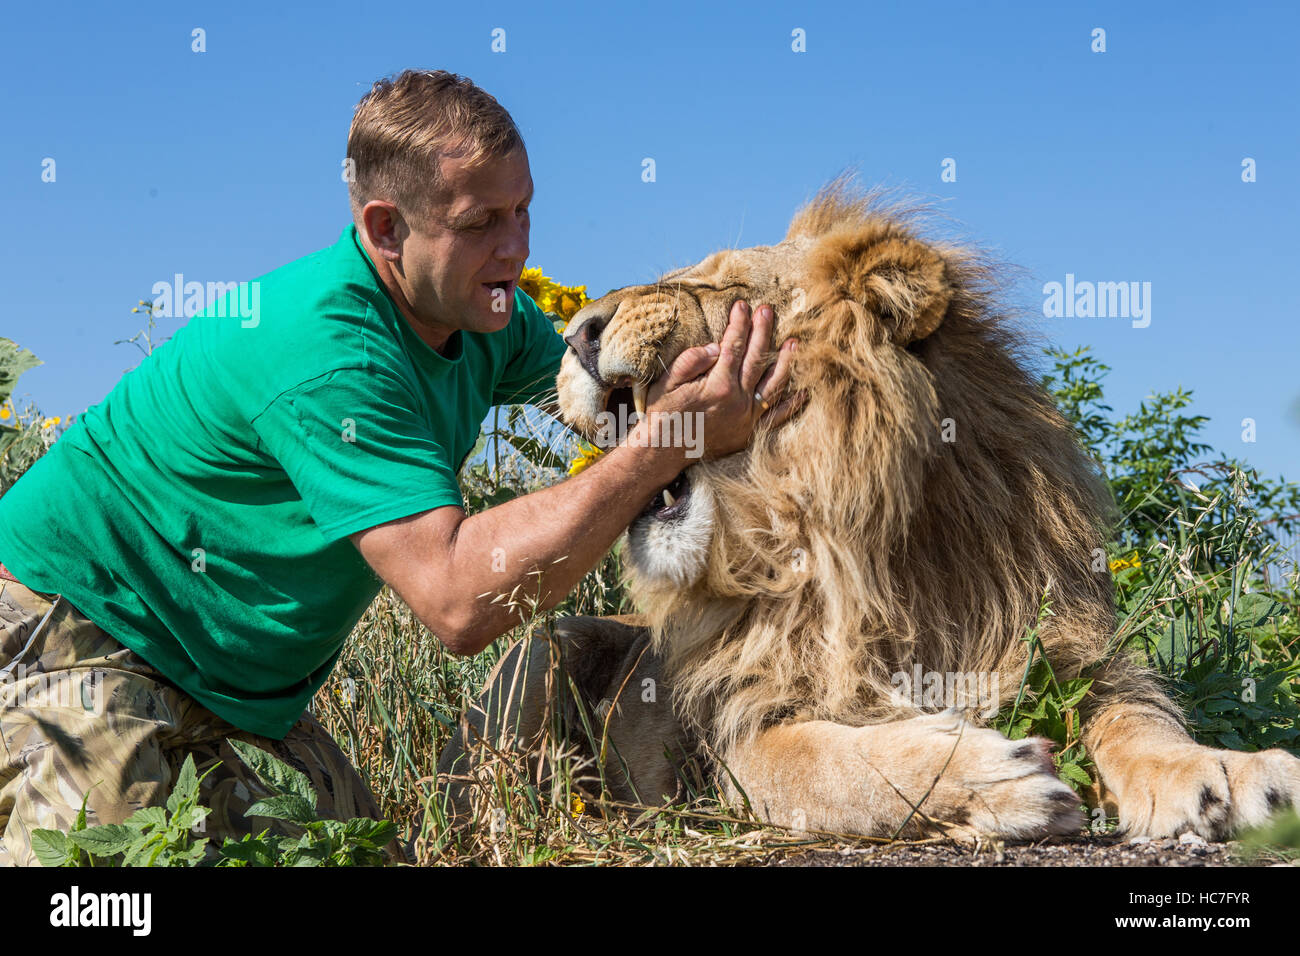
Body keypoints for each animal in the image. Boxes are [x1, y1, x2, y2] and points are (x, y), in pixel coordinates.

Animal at [437, 174, 1300, 842]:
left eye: (720, 288)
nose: (575, 335)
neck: (838, 542)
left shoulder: (1069, 654)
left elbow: (1141, 720)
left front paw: (1231, 773)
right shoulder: (741, 737)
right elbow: (832, 762)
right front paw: (994, 780)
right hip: (536, 656)